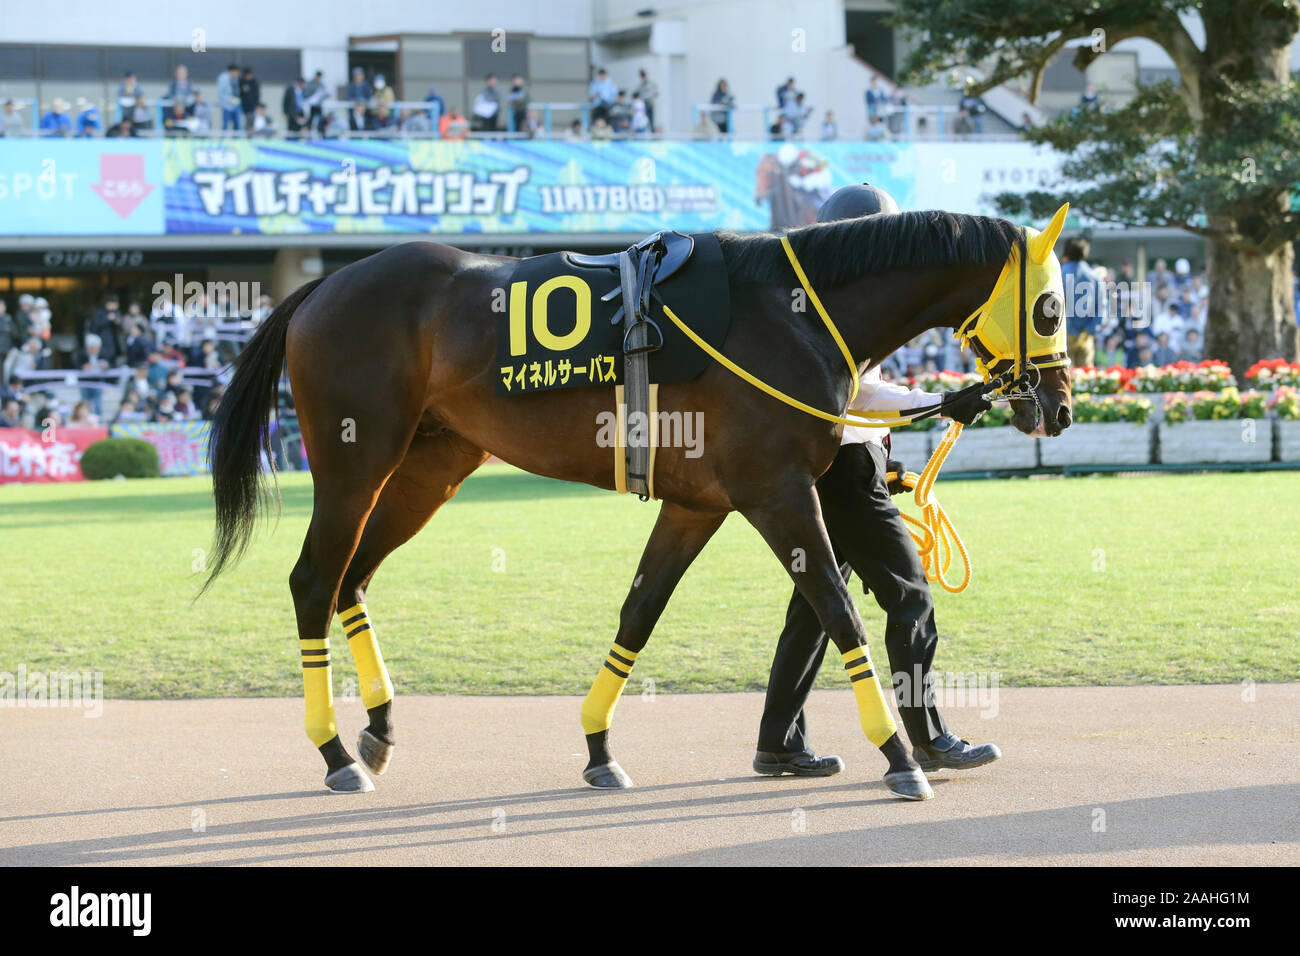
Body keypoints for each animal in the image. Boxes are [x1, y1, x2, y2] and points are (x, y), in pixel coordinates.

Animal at [202, 204, 1074, 799]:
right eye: (1052, 307)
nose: (1060, 407)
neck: (790, 313)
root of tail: (324, 283)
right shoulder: (778, 492)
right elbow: (838, 610)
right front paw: (896, 756)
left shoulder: (698, 505)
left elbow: (639, 614)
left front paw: (598, 747)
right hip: (355, 463)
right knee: (314, 582)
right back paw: (334, 754)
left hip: (429, 468)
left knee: (353, 579)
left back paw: (377, 729)